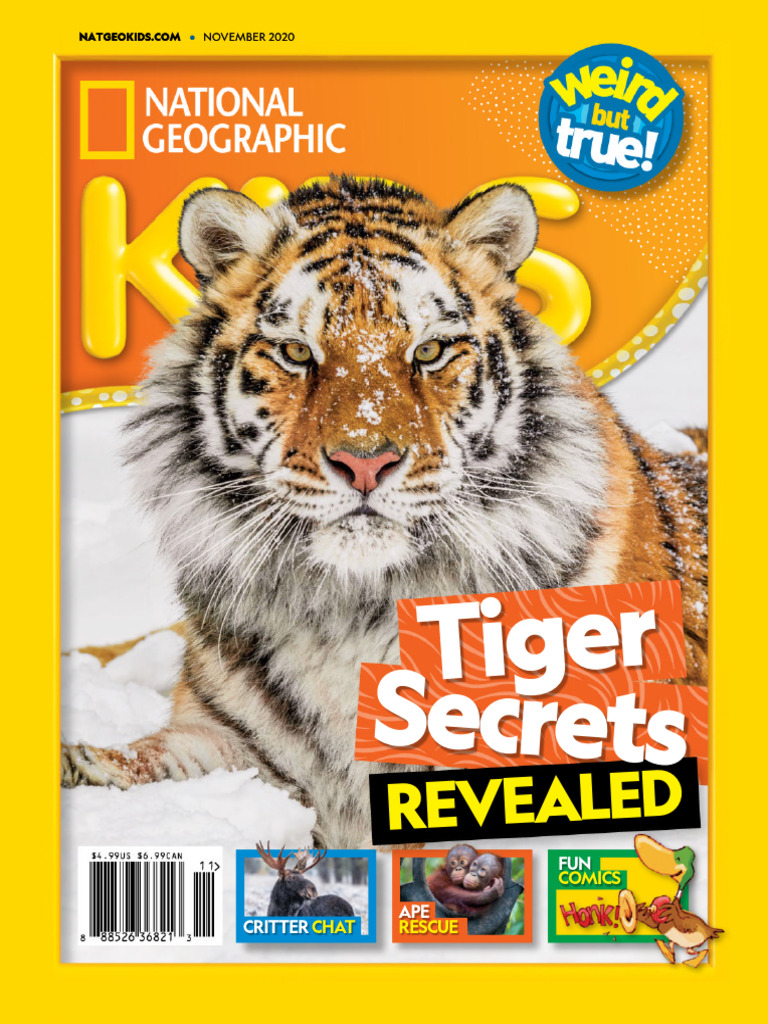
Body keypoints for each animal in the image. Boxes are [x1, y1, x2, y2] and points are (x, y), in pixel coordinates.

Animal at [61, 176, 708, 848]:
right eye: (296, 352)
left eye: (430, 351)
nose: (365, 462)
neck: (354, 608)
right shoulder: (225, 739)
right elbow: (160, 761)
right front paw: (84, 769)